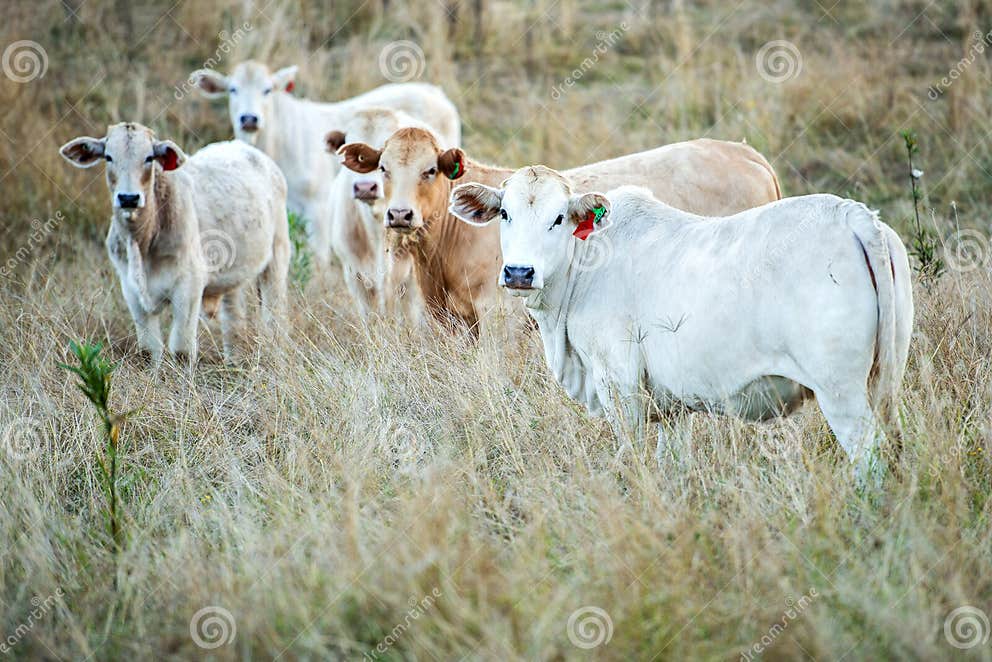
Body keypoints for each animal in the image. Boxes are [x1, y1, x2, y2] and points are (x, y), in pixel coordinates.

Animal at [59, 122, 289, 368]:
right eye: (109, 157)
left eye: (149, 157)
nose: (129, 198)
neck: (142, 241)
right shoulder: (131, 290)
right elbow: (148, 351)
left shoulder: (189, 287)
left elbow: (182, 351)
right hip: (233, 274)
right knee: (234, 319)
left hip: (277, 256)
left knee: (275, 317)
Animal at [189, 61, 460, 270]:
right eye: (232, 90)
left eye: (267, 90)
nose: (249, 119)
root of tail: (433, 92)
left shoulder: (318, 205)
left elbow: (318, 257)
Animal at [449, 166, 914, 482]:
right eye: (504, 214)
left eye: (559, 218)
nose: (519, 273)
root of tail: (853, 214)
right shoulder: (670, 408)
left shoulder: (619, 386)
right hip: (884, 380)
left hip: (841, 391)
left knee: (869, 458)